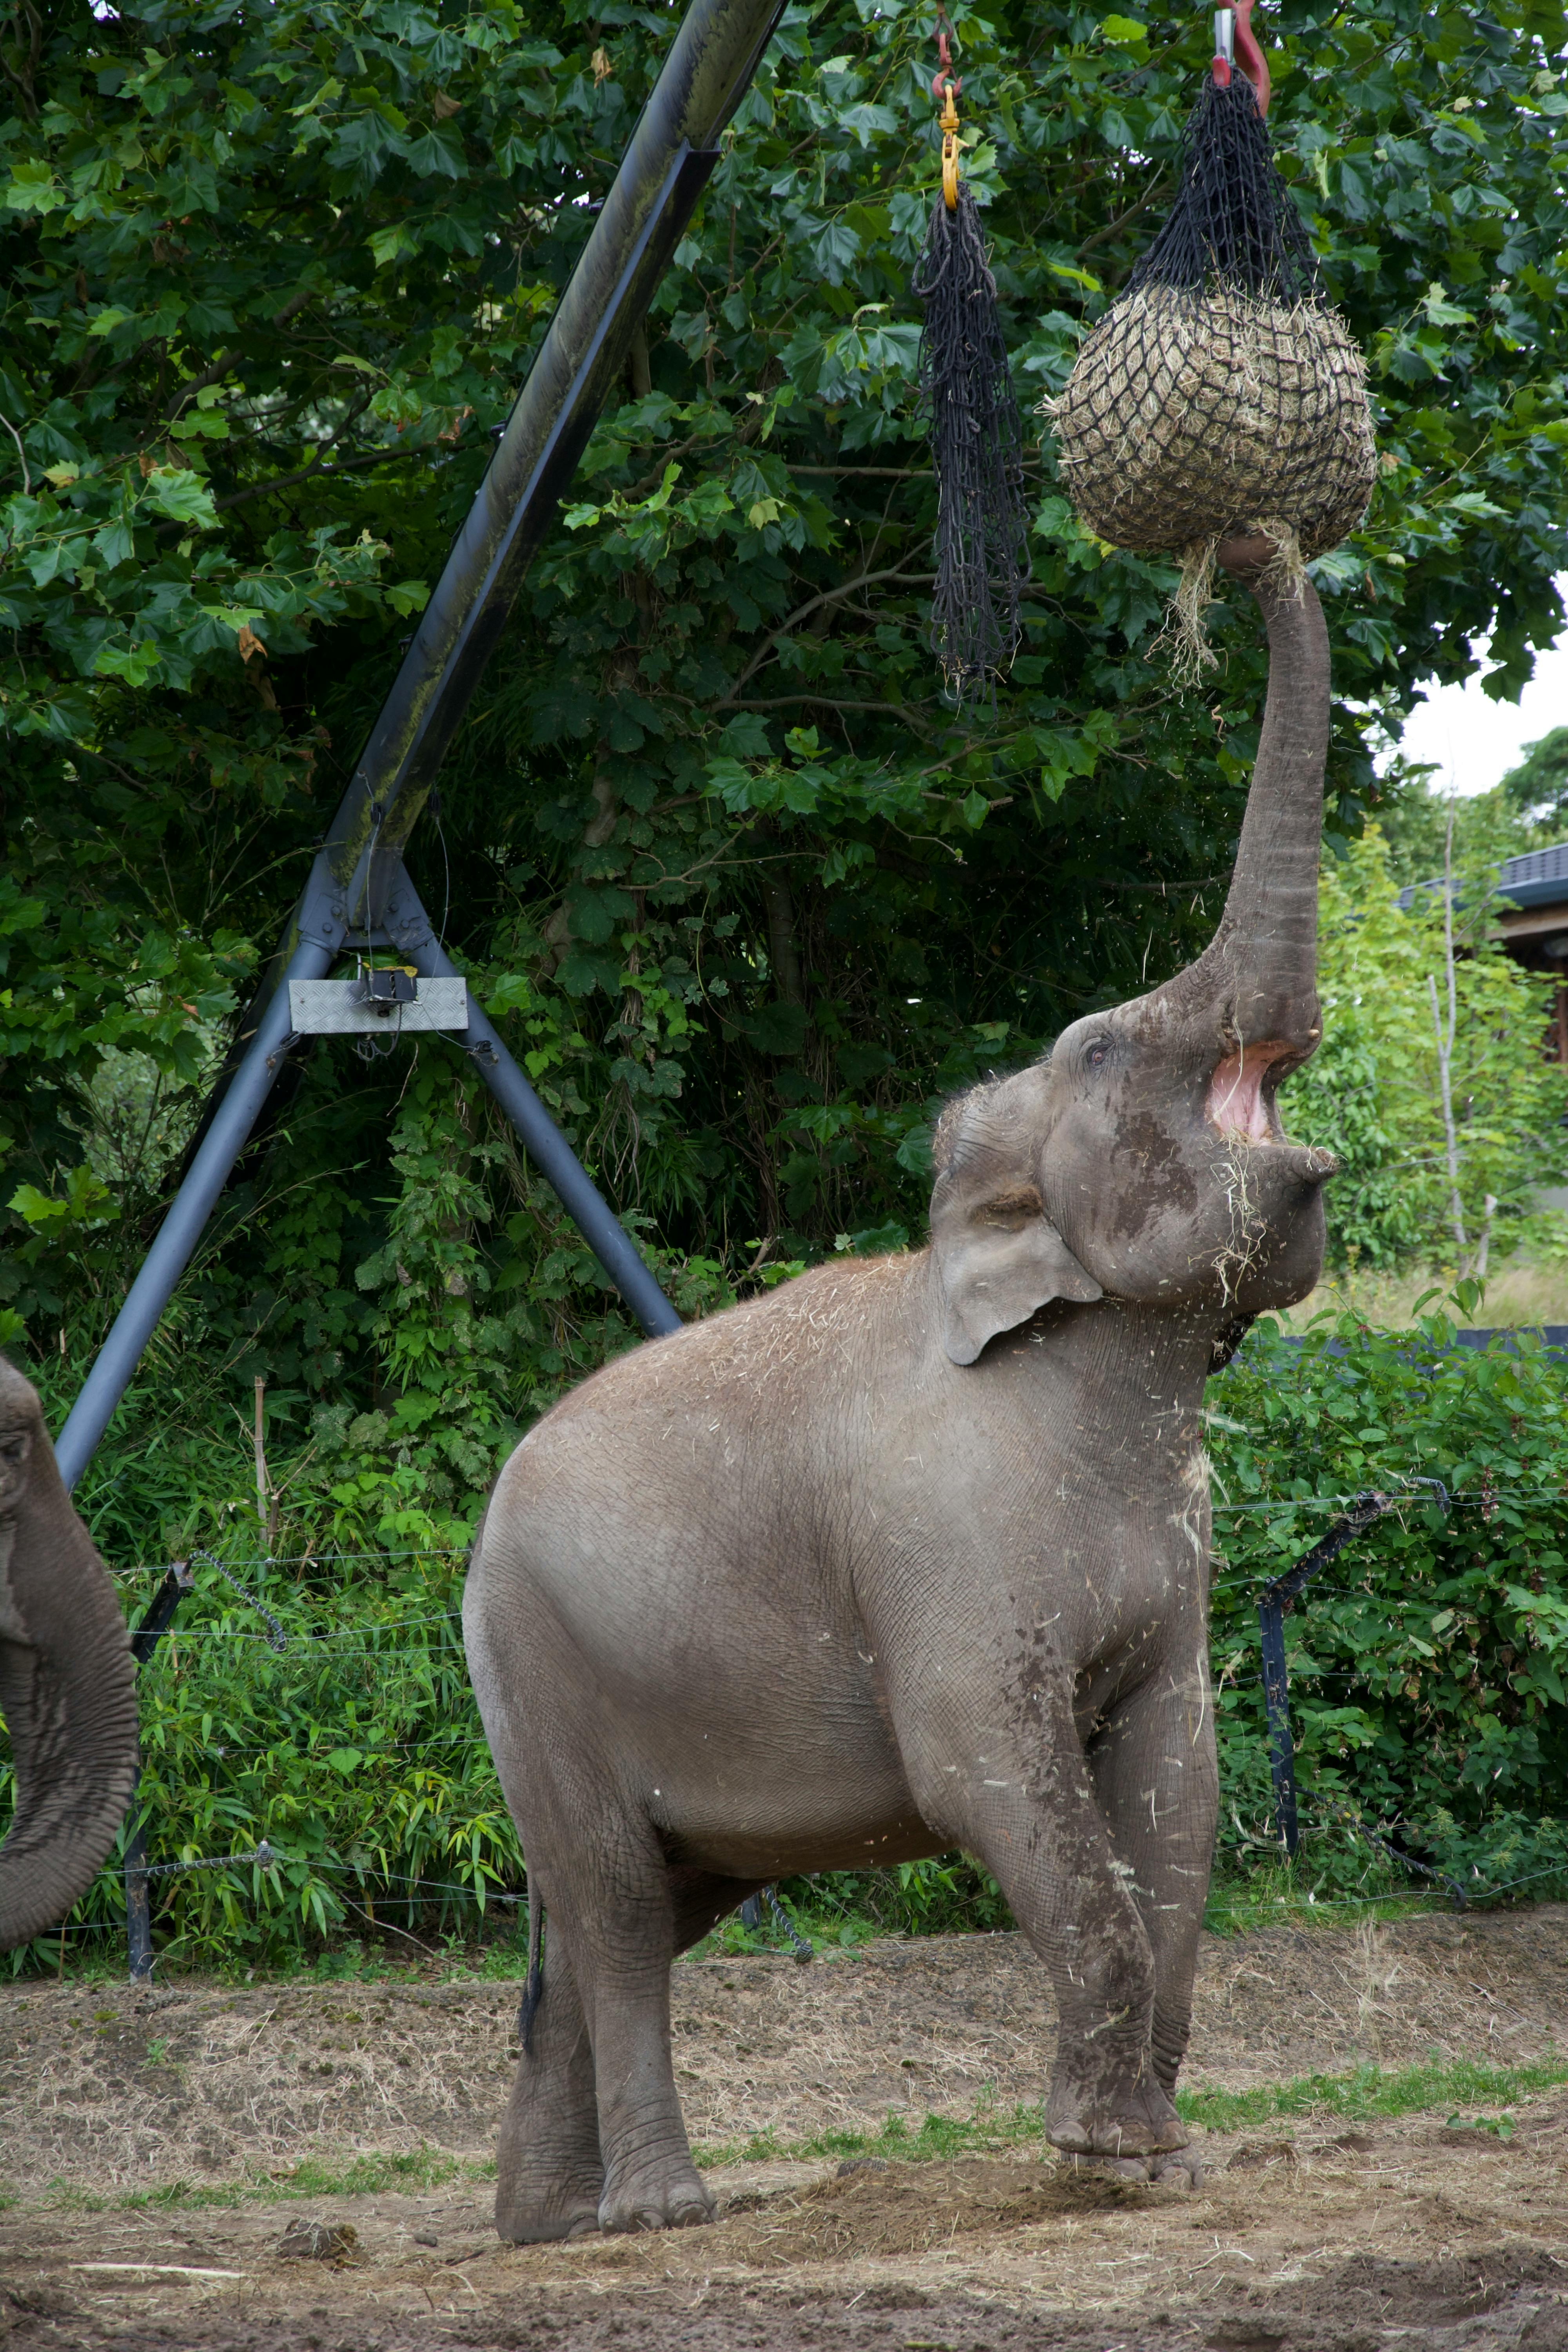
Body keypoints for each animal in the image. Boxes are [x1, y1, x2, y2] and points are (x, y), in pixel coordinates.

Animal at [463, 534, 1337, 2243]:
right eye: (1098, 1053)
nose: (1241, 548)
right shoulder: (948, 1546)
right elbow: (991, 1780)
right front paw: (1106, 2159)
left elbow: (1178, 1795)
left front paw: (1162, 2161)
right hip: (539, 1667)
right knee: (612, 1905)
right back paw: (662, 2218)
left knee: (613, 1922)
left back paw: (543, 2230)